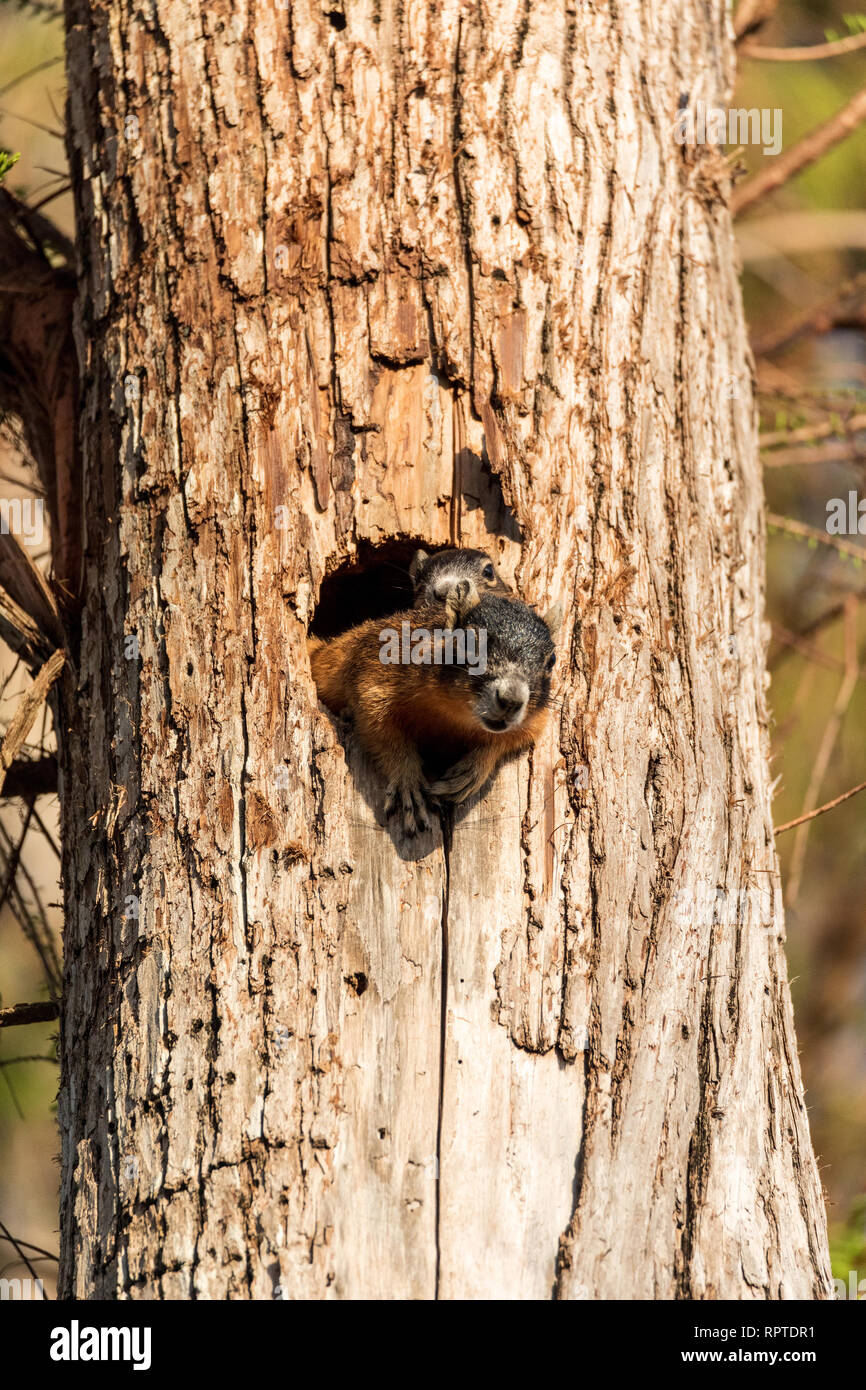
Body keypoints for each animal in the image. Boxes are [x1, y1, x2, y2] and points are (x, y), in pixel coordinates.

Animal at [309, 572, 561, 837]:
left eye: (552, 661)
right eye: (469, 642)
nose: (512, 700)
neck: (454, 711)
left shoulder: (535, 719)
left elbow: (507, 740)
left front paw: (471, 773)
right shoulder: (375, 673)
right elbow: (381, 729)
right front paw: (407, 782)